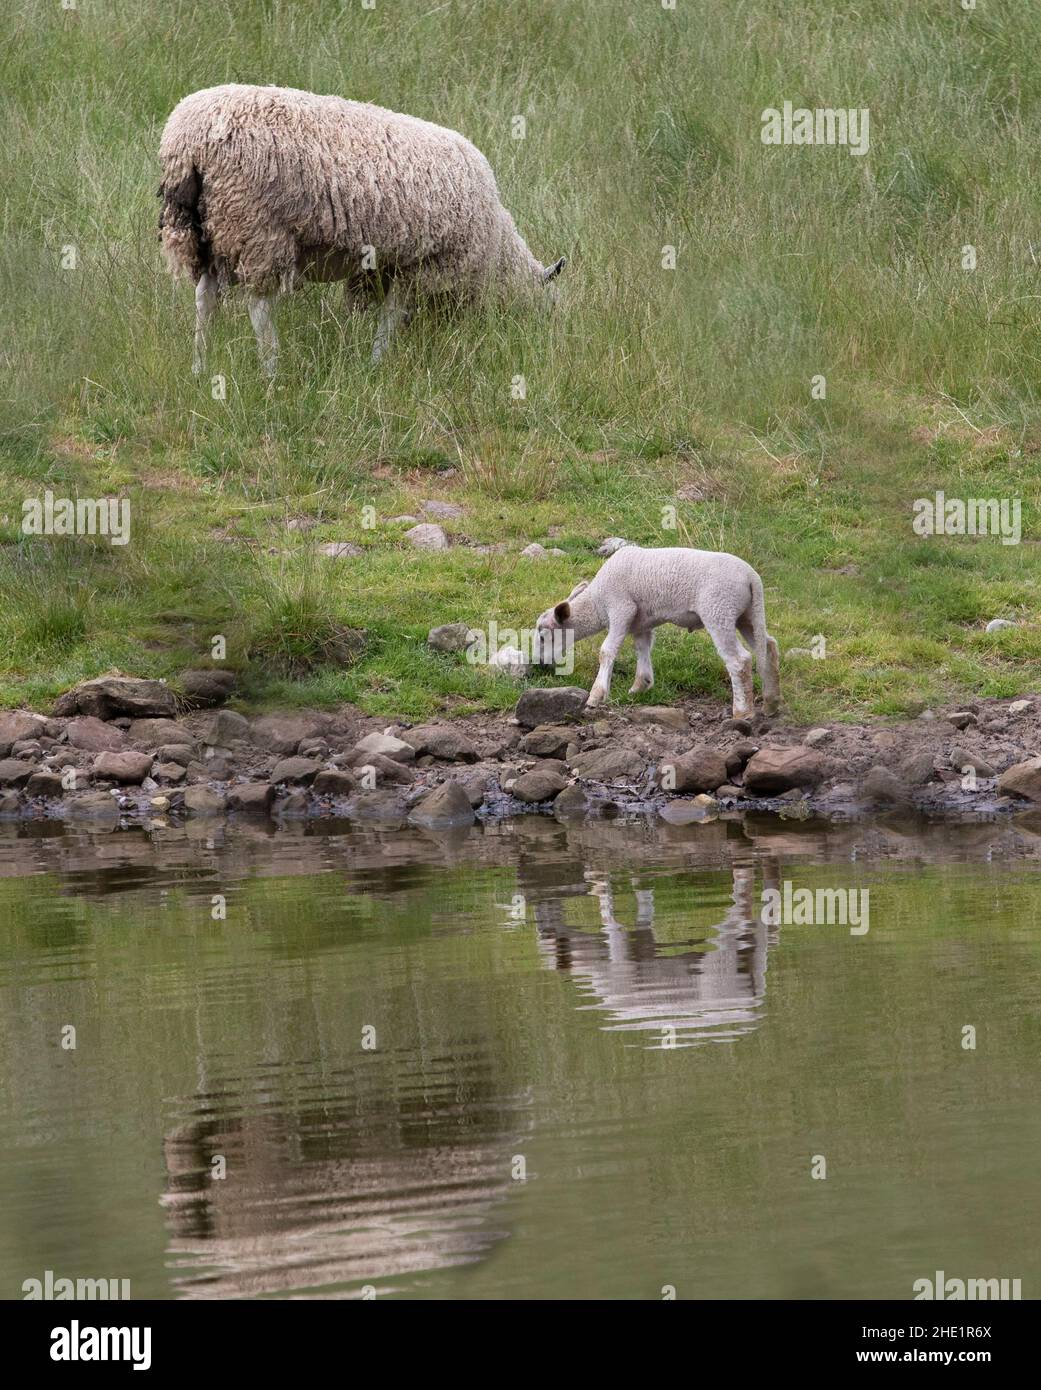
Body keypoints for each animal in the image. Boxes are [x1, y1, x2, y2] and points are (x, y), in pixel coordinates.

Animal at [158, 83, 566, 374]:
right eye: (548, 306)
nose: (541, 344)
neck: (497, 243)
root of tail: (186, 139)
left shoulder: (382, 265)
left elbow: (374, 309)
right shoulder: (421, 263)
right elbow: (392, 315)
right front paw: (378, 360)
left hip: (209, 231)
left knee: (205, 298)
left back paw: (199, 367)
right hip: (255, 225)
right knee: (258, 307)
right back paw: (272, 369)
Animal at [533, 546, 781, 717]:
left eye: (543, 636)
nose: (537, 664)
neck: (596, 602)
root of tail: (752, 578)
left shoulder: (621, 608)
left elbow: (607, 651)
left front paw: (596, 695)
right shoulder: (641, 622)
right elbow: (642, 649)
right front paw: (640, 686)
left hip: (719, 610)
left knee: (739, 660)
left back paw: (743, 712)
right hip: (747, 614)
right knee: (768, 647)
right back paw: (771, 703)